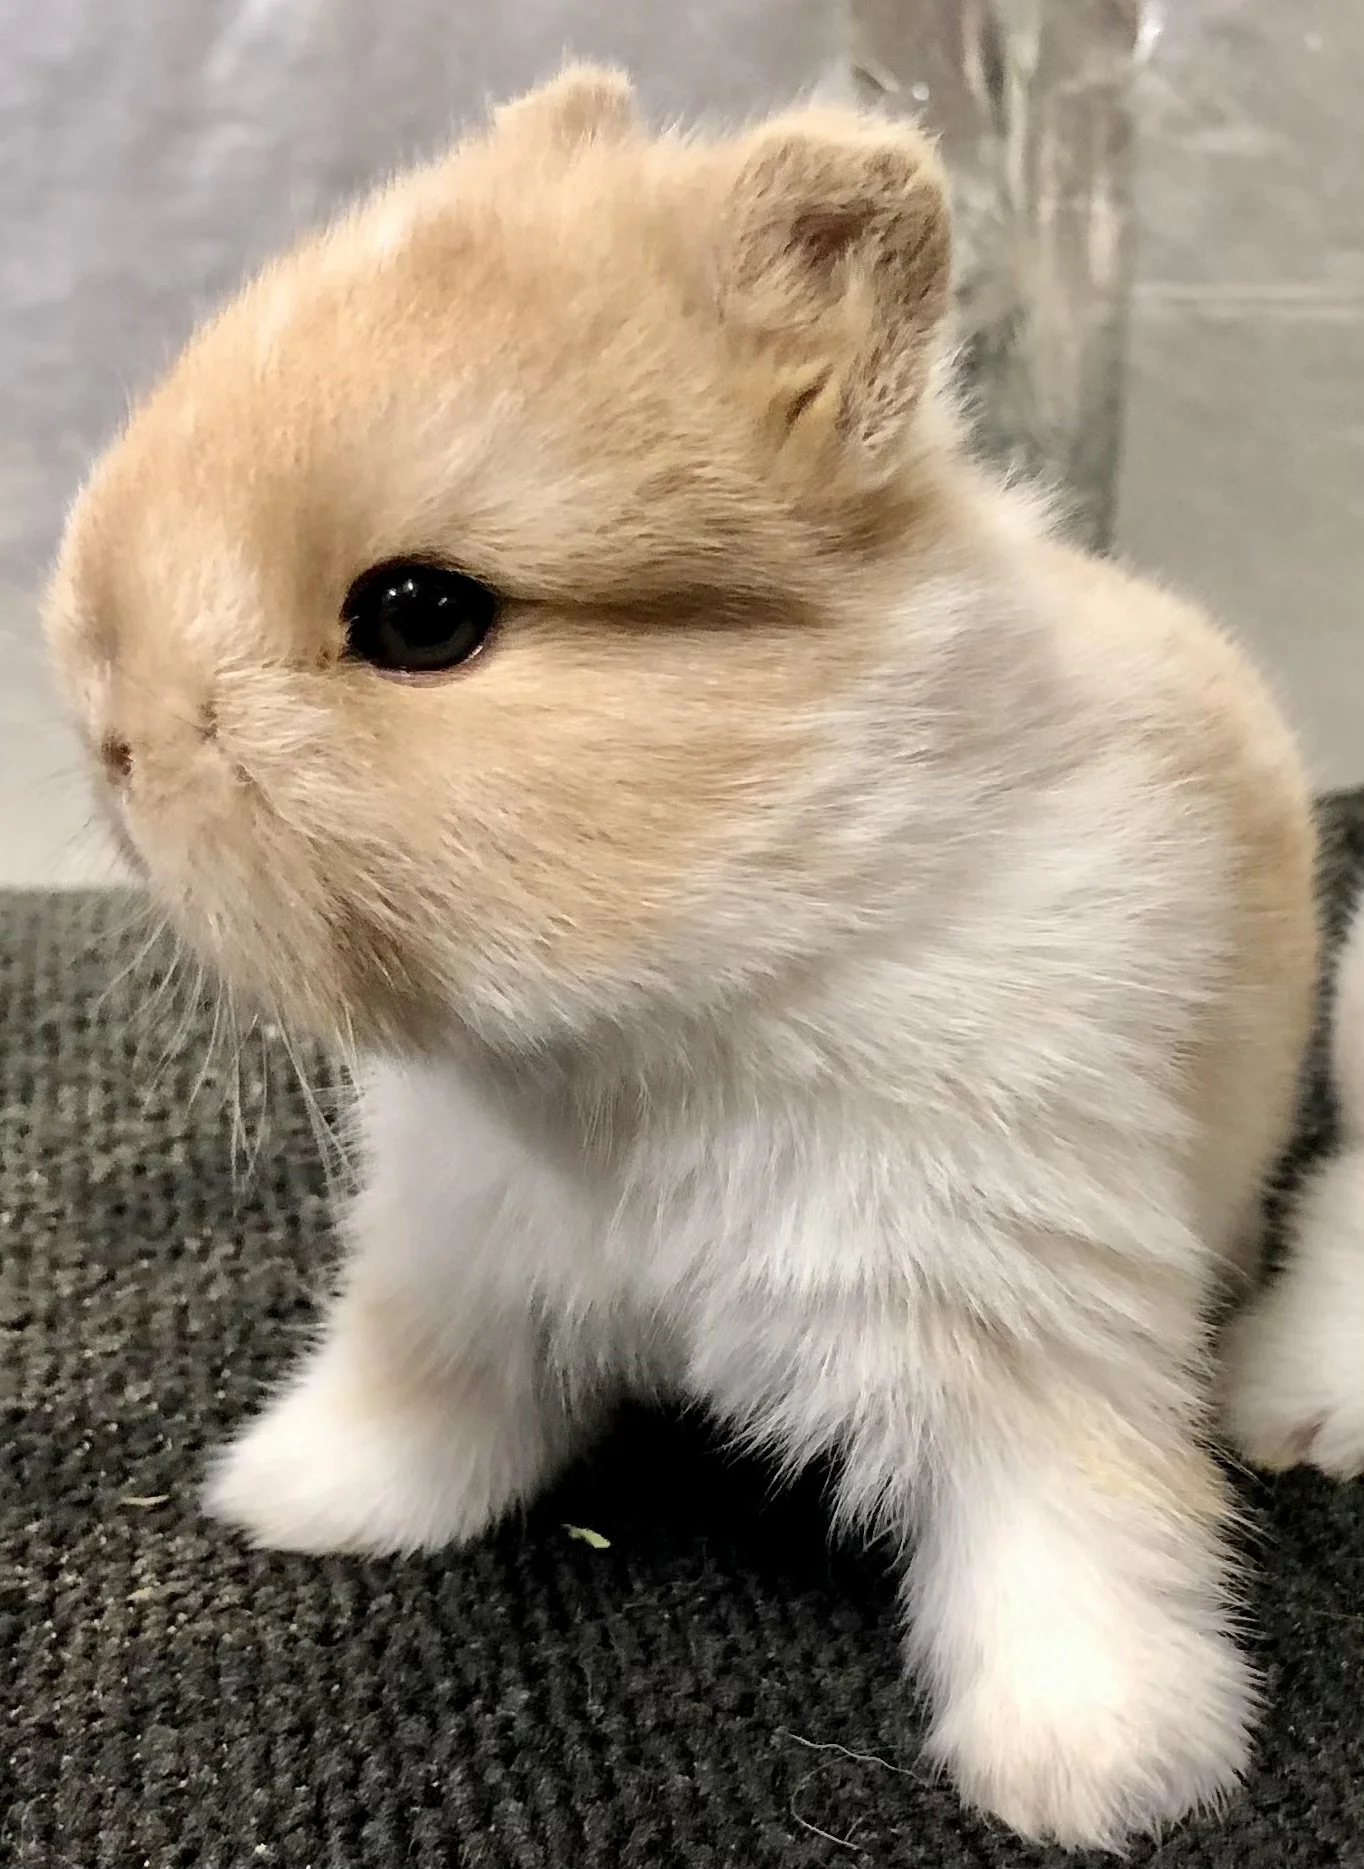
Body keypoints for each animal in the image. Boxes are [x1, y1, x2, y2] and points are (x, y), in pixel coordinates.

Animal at [45, 67, 1325, 1851]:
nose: (106, 731)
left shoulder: (1027, 1312)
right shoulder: (452, 1262)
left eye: (421, 615)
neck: (693, 979)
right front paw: (302, 1497)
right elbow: (419, 1401)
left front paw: (1097, 1770)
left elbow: (1075, 1537)